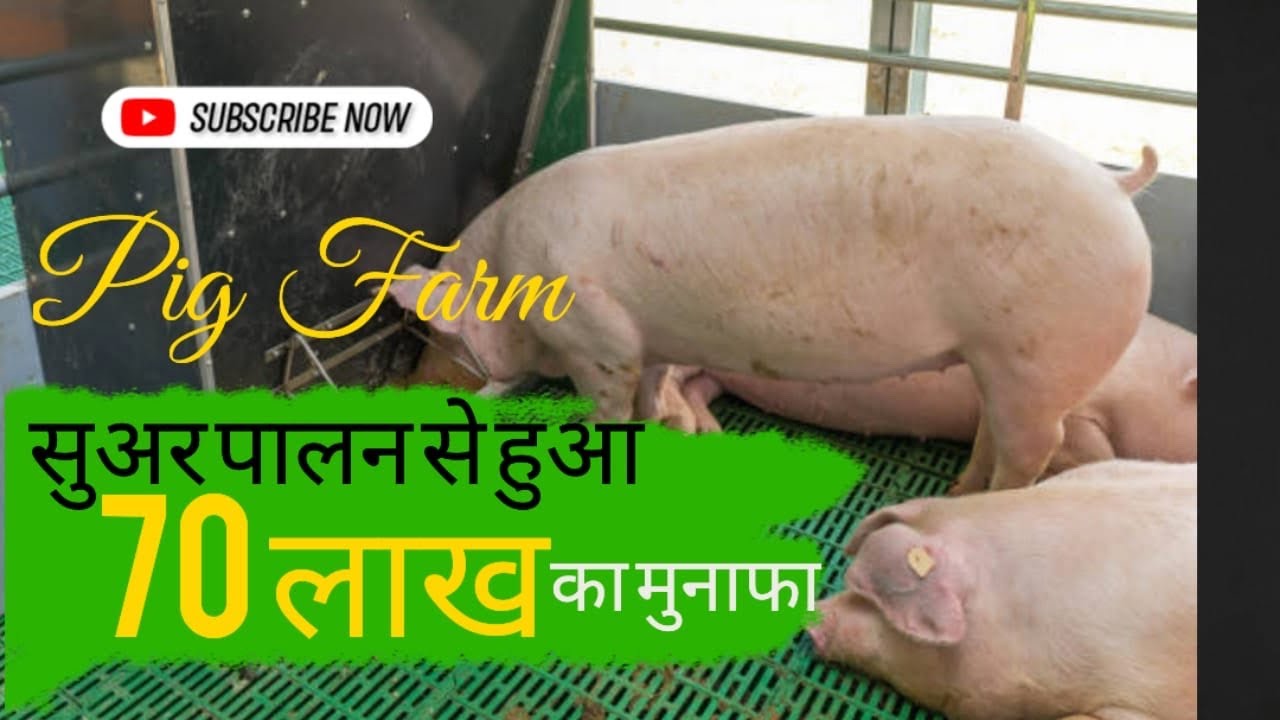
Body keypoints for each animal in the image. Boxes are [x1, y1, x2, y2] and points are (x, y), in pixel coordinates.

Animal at [638, 313, 1196, 482]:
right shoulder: (1075, 410)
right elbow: (1095, 448)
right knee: (669, 382)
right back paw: (678, 425)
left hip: (719, 373)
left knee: (698, 386)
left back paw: (708, 431)